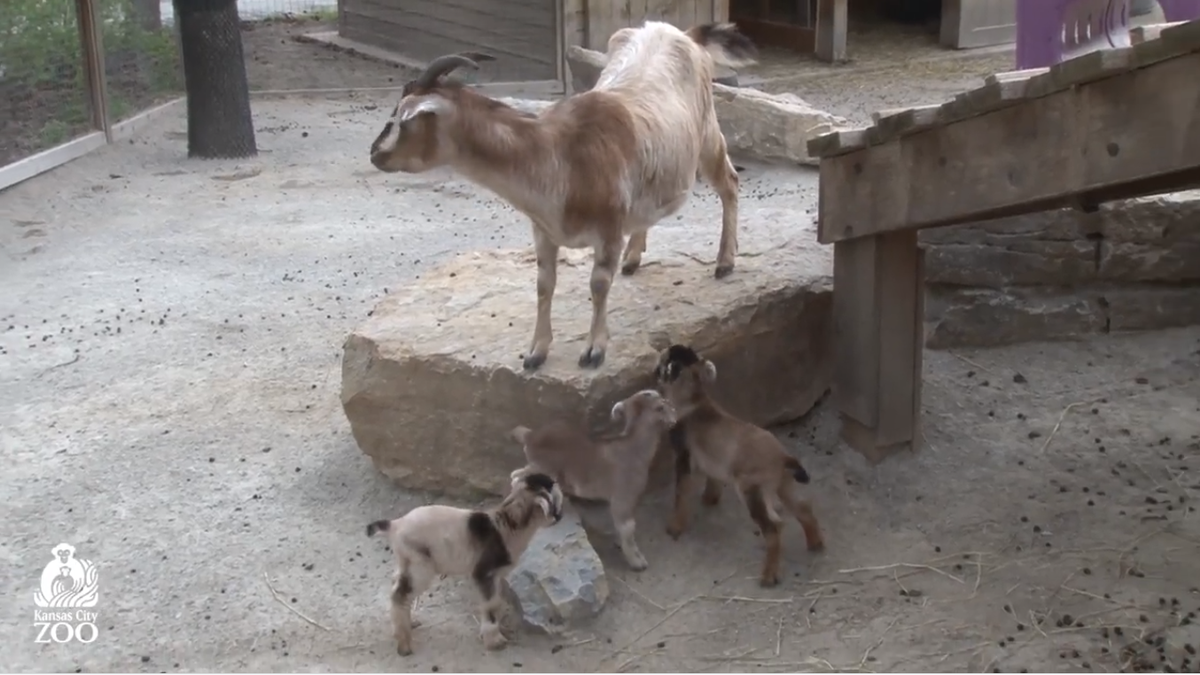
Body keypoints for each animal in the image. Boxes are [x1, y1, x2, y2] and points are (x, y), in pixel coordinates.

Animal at [365, 472, 565, 655]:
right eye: (556, 503)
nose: (560, 517)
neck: (506, 524)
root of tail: (395, 525)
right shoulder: (483, 573)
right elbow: (491, 605)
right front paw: (494, 640)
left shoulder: (497, 576)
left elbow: (497, 603)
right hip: (420, 565)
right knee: (400, 595)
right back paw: (404, 644)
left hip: (406, 560)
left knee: (396, 587)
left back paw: (409, 624)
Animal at [367, 22, 757, 372]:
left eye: (403, 119)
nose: (376, 154)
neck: (561, 156)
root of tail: (684, 34)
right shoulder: (543, 230)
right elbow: (544, 284)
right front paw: (535, 353)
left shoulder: (608, 229)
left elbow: (598, 284)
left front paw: (594, 351)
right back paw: (633, 259)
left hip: (707, 133)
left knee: (729, 182)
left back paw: (724, 262)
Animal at [508, 389, 678, 571]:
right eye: (660, 407)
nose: (674, 415)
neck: (633, 450)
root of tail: (530, 436)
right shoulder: (623, 498)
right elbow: (628, 528)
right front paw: (637, 561)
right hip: (544, 469)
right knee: (518, 479)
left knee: (516, 476)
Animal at [653, 344, 824, 587]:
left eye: (664, 361)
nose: (656, 365)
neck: (694, 400)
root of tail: (782, 457)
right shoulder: (711, 461)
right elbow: (712, 479)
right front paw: (710, 499)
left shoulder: (684, 457)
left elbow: (681, 493)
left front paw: (675, 527)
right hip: (783, 486)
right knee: (803, 508)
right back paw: (815, 543)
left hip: (751, 491)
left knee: (773, 528)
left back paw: (769, 575)